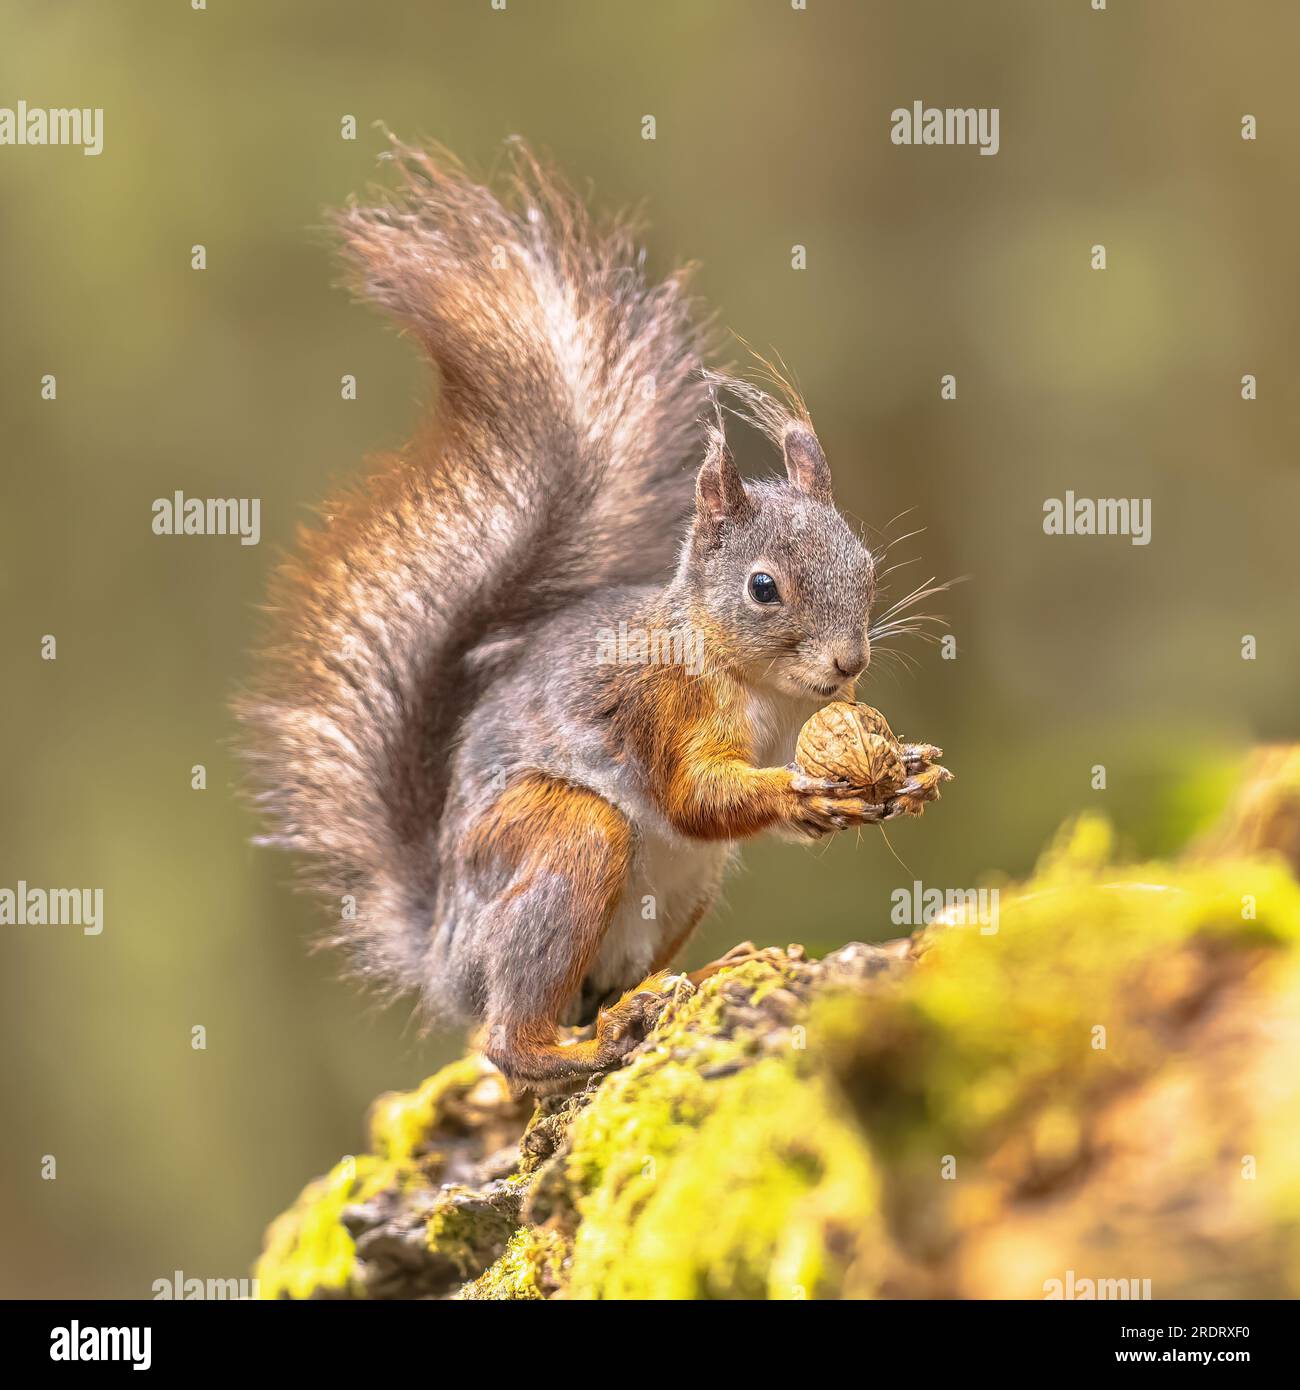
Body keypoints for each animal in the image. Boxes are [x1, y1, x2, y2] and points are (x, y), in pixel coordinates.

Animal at [236, 140, 912, 1093]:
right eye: (763, 588)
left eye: (867, 566)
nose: (849, 664)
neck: (756, 684)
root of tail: (446, 958)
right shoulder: (662, 706)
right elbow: (695, 795)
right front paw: (802, 790)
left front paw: (908, 771)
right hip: (561, 840)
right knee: (511, 1033)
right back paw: (579, 1047)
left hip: (685, 891)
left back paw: (698, 975)